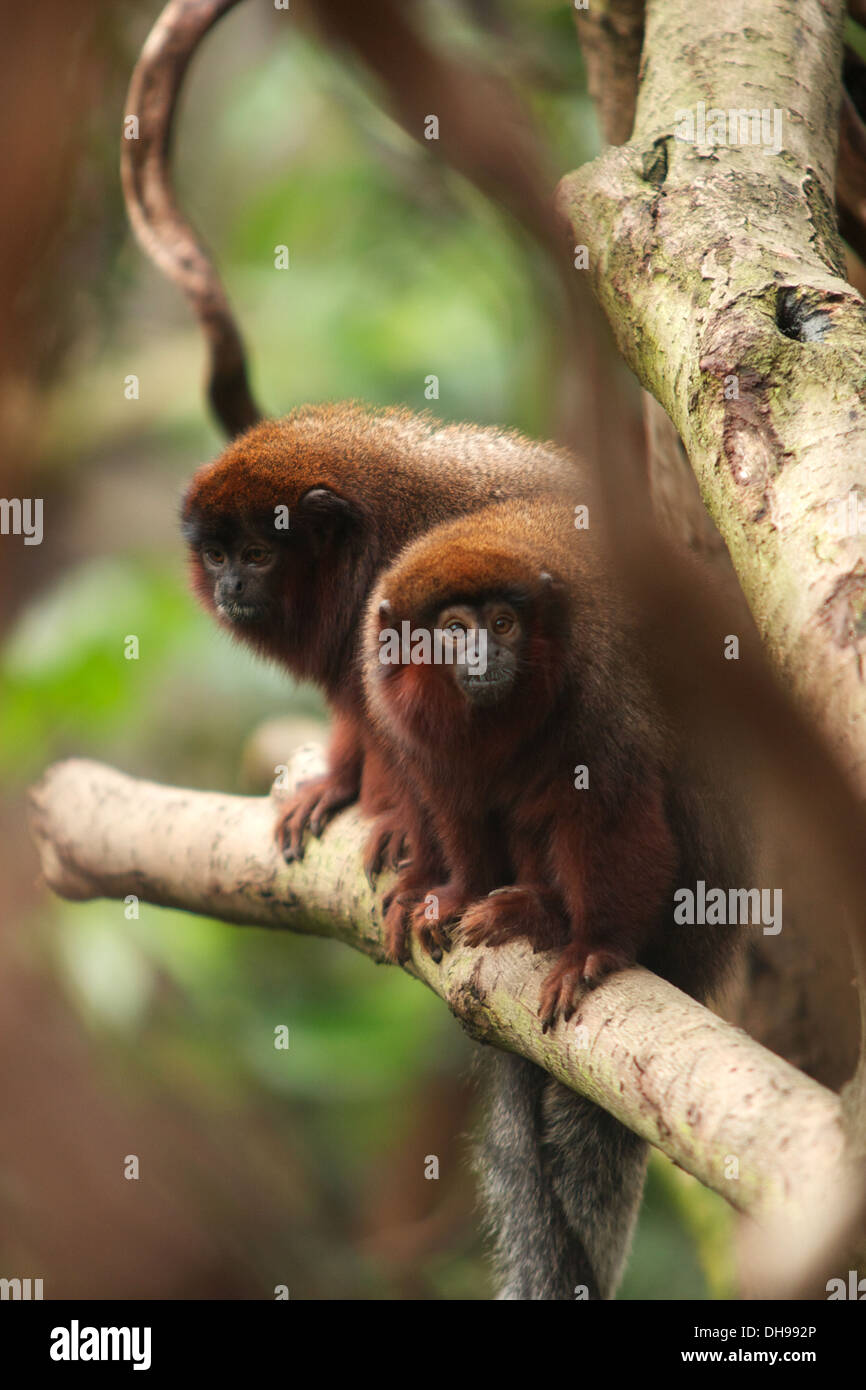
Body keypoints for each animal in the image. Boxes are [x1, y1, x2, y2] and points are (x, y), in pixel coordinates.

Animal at [180, 402, 581, 866]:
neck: (368, 553)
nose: (230, 587)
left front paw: (405, 830)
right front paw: (336, 786)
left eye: (256, 555)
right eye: (216, 556)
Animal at [362, 495, 744, 1297]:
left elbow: (611, 807)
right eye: (454, 630)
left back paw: (545, 916)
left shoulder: (602, 686)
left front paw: (593, 946)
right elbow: (455, 799)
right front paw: (453, 893)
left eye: (504, 624)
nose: (483, 657)